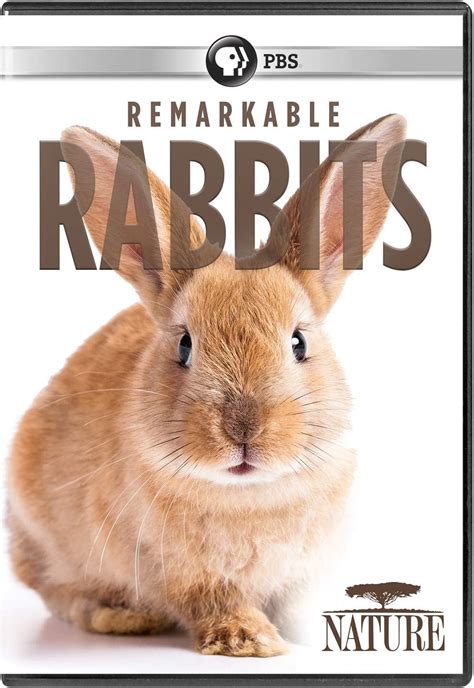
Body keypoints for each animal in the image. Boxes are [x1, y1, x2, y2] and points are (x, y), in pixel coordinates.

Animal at [7, 114, 406, 657]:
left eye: (299, 342)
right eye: (184, 346)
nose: (243, 429)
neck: (248, 497)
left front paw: (303, 632)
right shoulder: (178, 571)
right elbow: (213, 599)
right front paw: (250, 641)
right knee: (59, 592)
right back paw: (122, 616)